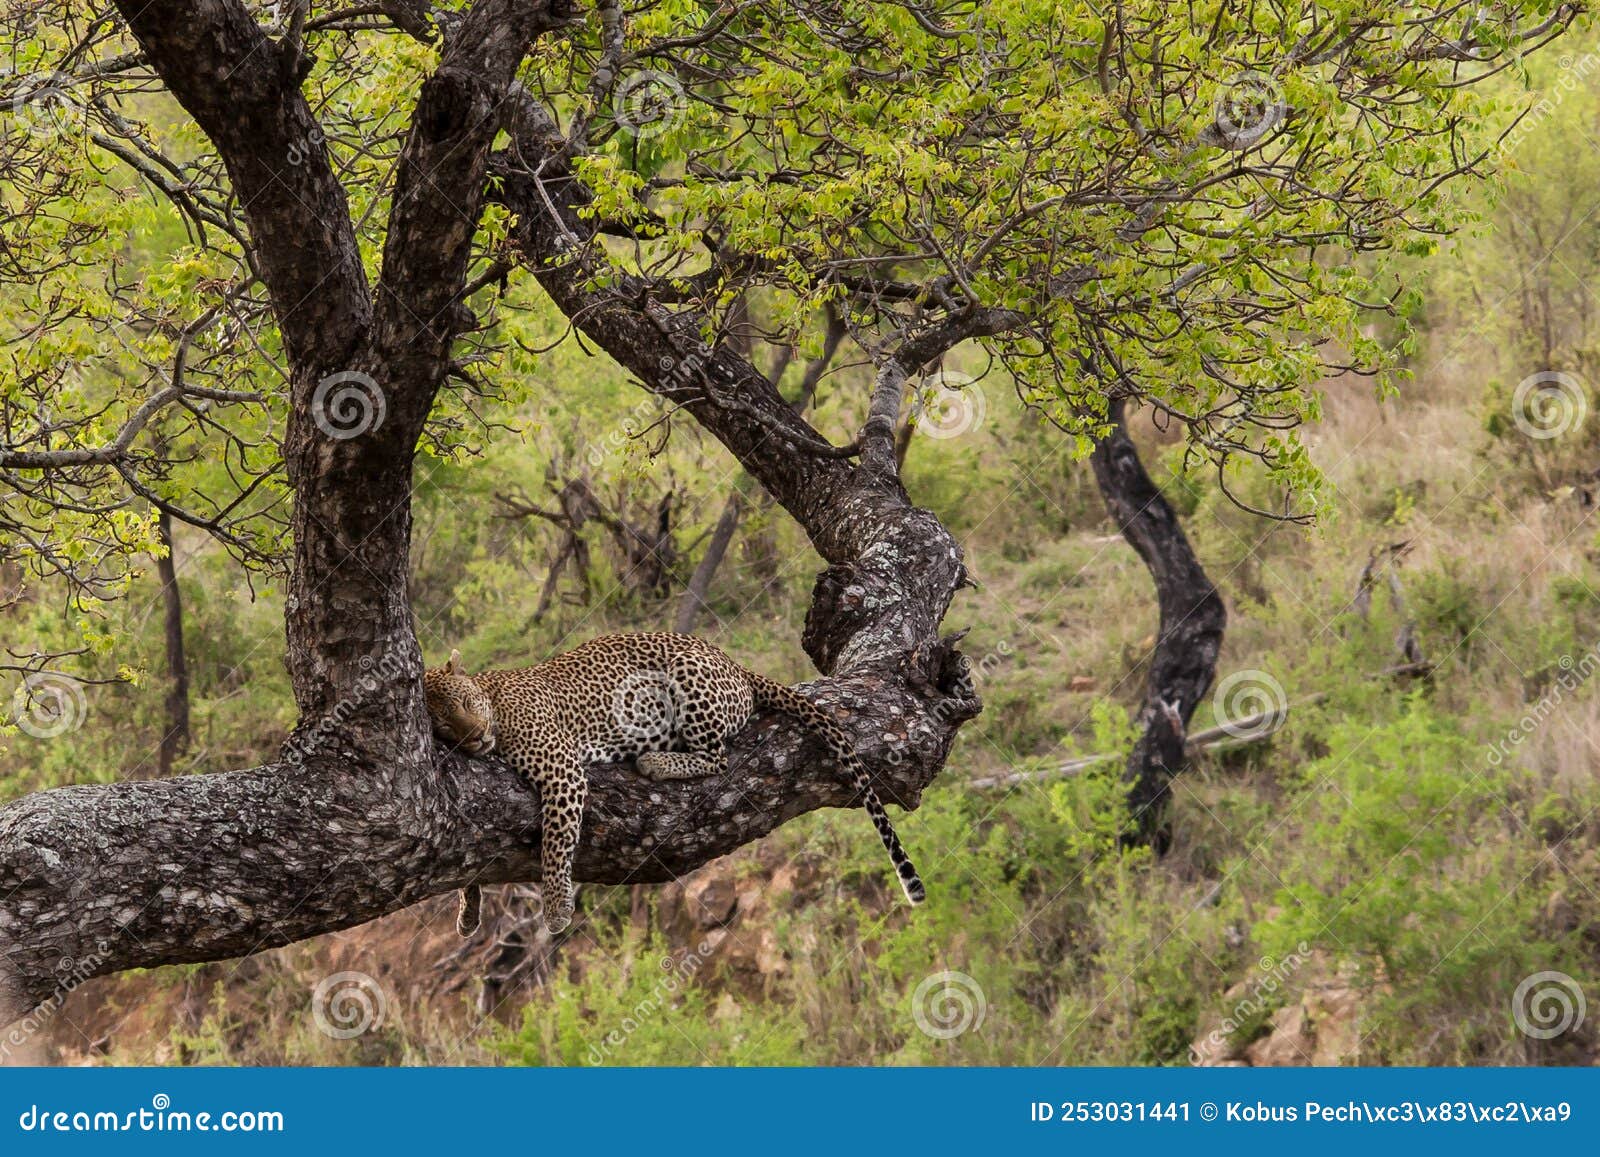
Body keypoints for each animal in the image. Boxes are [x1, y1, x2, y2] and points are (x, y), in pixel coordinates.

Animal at [423, 632, 925, 936]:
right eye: (444, 726)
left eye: (464, 704)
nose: (473, 736)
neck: (492, 699)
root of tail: (735, 664)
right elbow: (475, 853)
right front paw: (468, 912)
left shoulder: (562, 767)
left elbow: (556, 843)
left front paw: (554, 907)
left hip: (686, 677)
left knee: (719, 758)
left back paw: (656, 762)